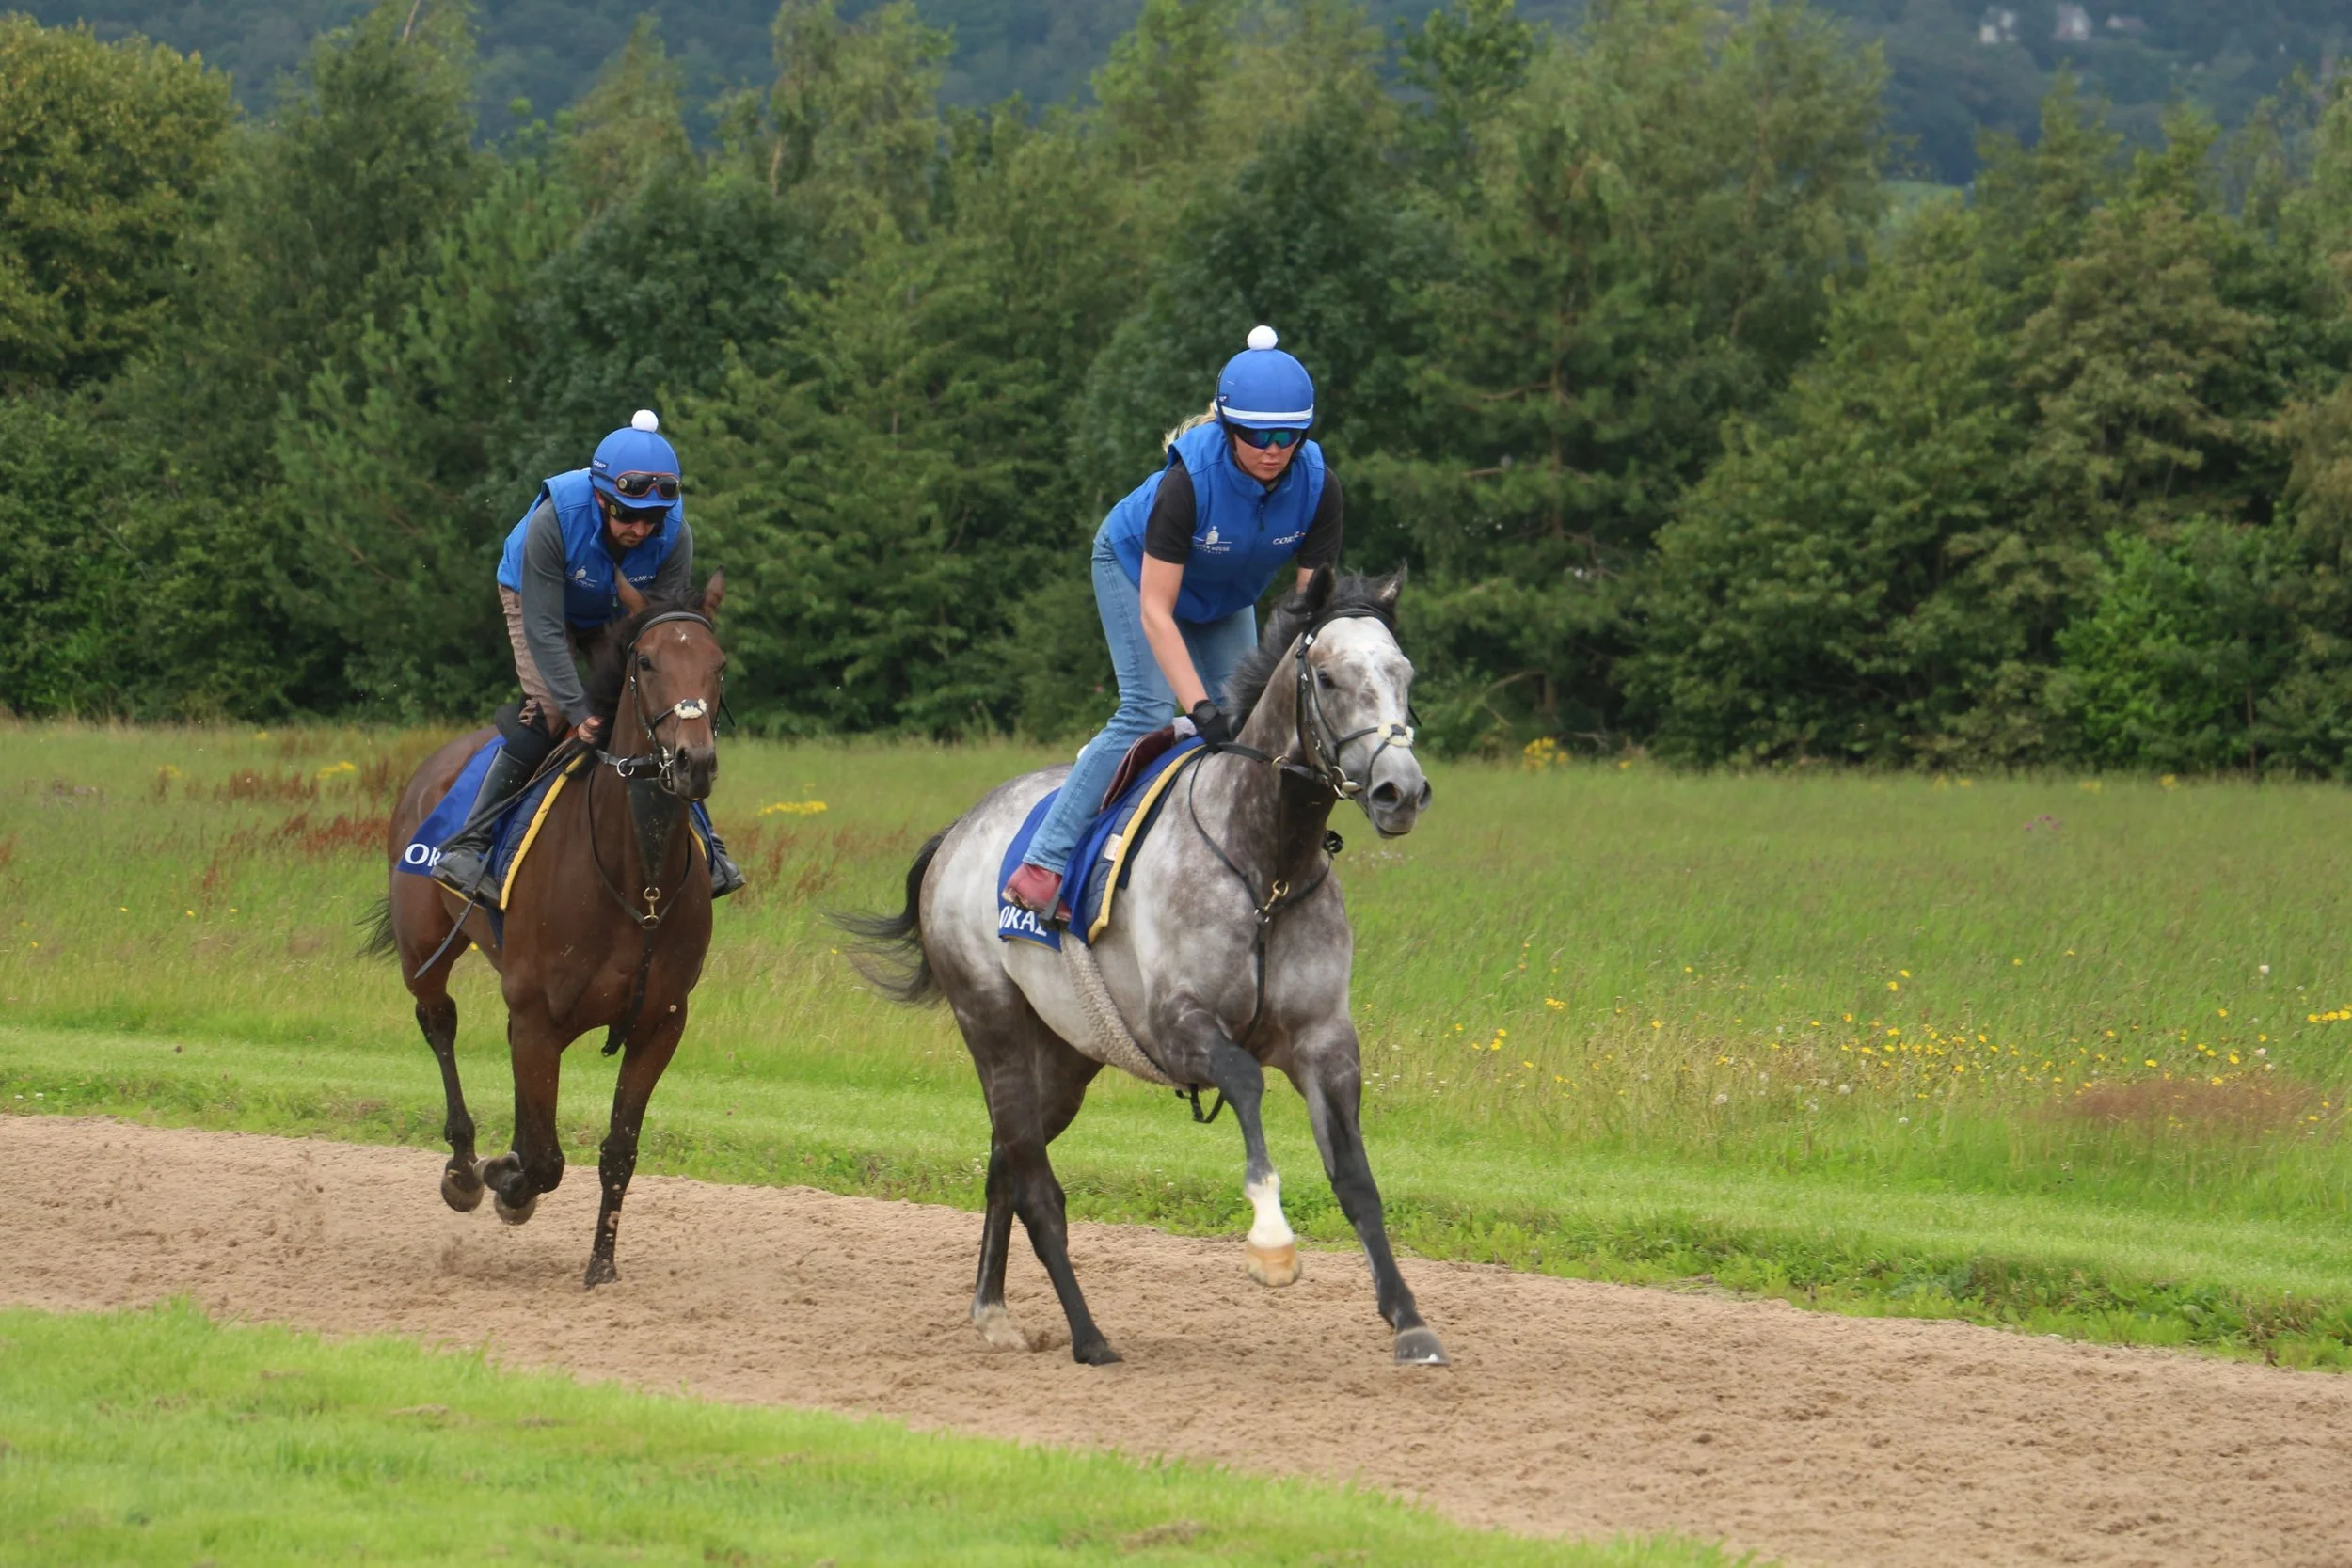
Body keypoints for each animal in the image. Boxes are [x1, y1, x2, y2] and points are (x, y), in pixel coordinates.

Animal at [367, 576, 727, 1288]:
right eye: (647, 663)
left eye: (719, 664)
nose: (692, 760)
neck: (636, 881)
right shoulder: (539, 1014)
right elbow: (544, 1159)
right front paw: (505, 1181)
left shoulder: (660, 1022)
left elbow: (617, 1149)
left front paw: (602, 1264)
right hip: (424, 948)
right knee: (439, 1022)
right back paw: (463, 1168)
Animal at [843, 568, 1447, 1365]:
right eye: (1327, 676)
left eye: (1404, 674)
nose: (1399, 790)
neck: (1265, 867)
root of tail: (957, 834)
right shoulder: (1178, 1024)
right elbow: (1246, 1082)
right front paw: (1271, 1239)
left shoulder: (1325, 1039)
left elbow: (1356, 1179)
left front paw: (1409, 1319)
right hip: (991, 1021)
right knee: (1035, 1183)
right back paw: (1088, 1334)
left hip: (1065, 1056)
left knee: (1008, 1158)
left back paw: (993, 1308)